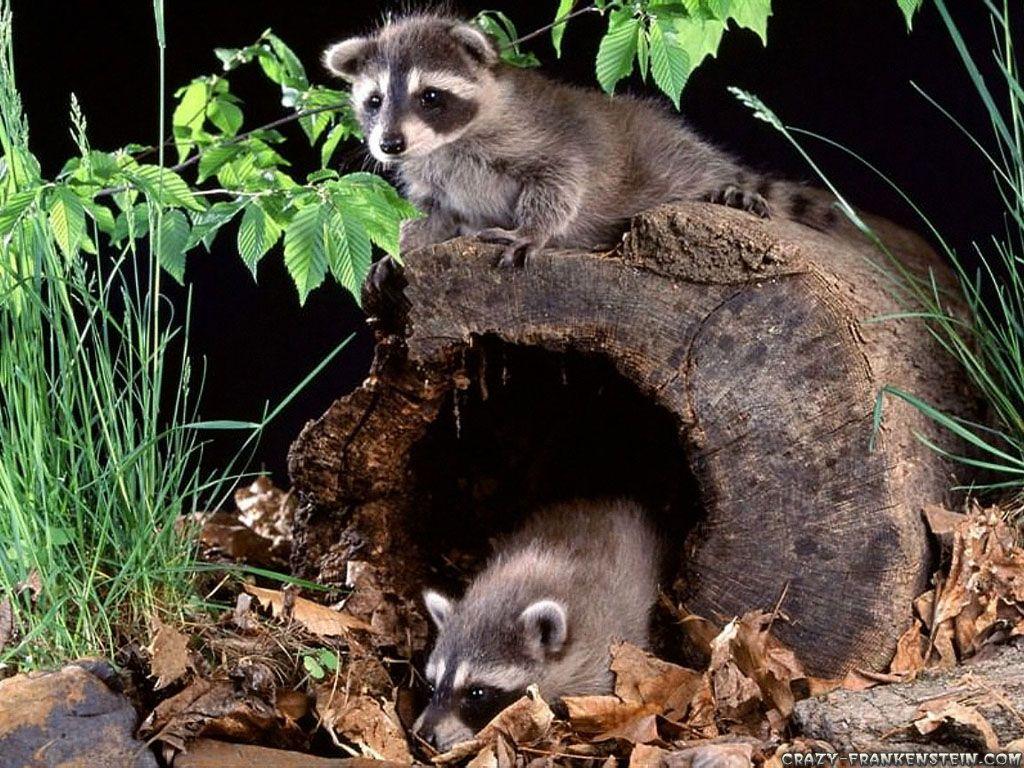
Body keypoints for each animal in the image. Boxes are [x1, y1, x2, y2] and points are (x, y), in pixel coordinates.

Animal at [324, 13, 837, 272]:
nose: (390, 145)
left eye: (429, 97)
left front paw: (533, 230)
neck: (447, 143)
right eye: (374, 101)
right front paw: (407, 245)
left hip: (665, 153)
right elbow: (434, 214)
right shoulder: (433, 176)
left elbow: (563, 177)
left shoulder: (537, 133)